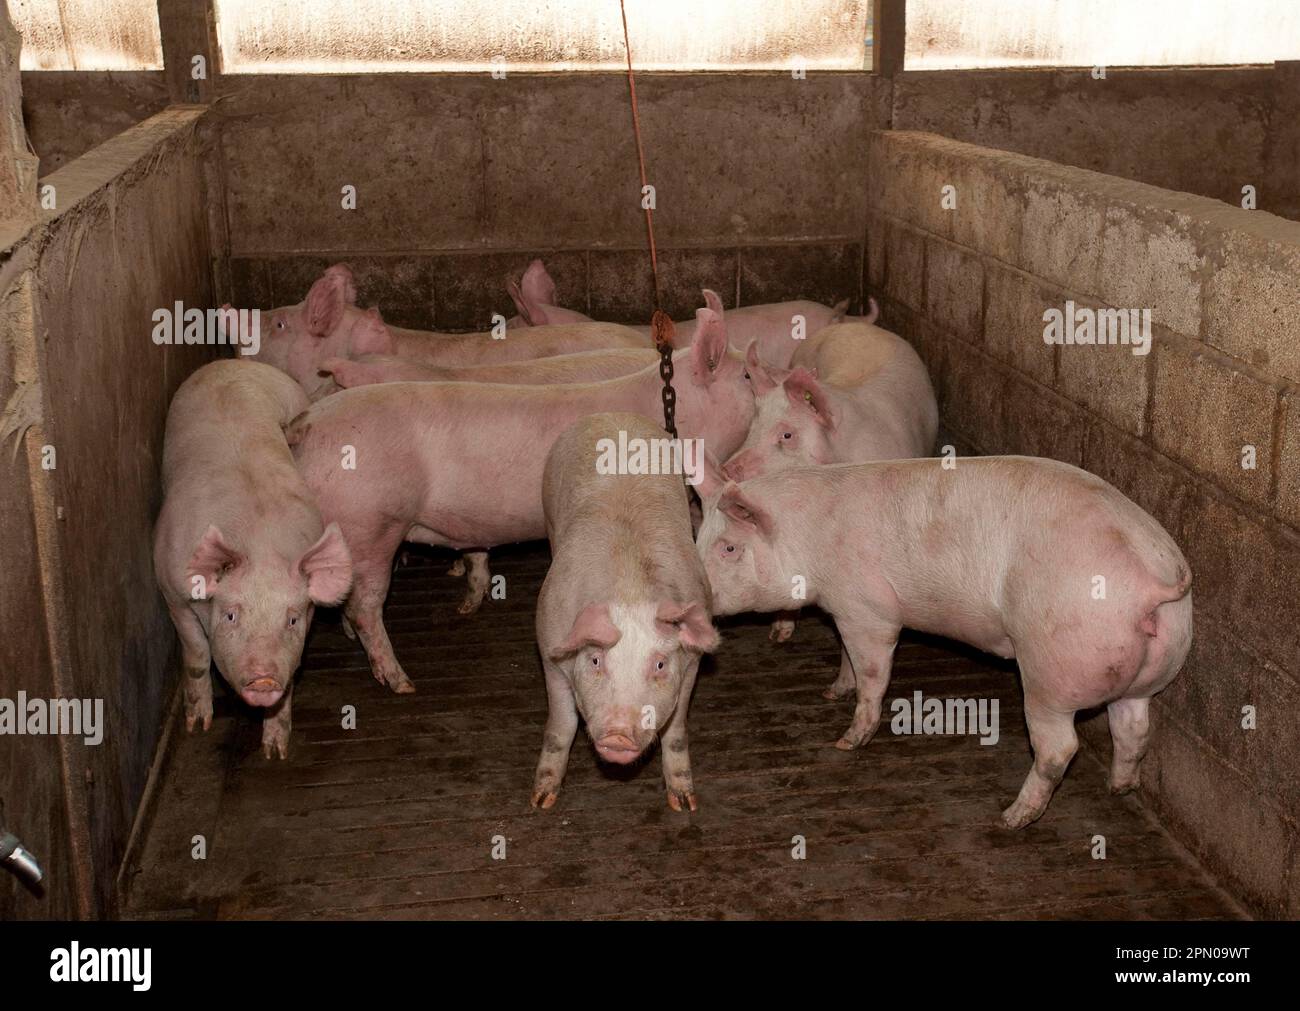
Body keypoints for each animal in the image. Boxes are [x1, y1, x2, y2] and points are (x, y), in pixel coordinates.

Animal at [153, 360, 353, 759]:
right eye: (231, 615)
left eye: (291, 620)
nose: (263, 678)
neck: (260, 548)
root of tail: (233, 363)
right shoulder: (171, 589)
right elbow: (196, 654)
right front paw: (197, 726)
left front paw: (275, 753)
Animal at [533, 413, 720, 811]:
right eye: (596, 660)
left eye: (660, 664)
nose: (618, 734)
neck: (630, 591)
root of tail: (611, 414)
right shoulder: (549, 651)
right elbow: (561, 727)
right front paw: (541, 801)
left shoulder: (692, 664)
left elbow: (676, 731)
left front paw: (685, 804)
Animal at [695, 456, 1193, 829]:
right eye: (699, 541)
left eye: (729, 548)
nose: (691, 606)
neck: (811, 539)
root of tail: (1153, 579)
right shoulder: (843, 609)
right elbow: (845, 658)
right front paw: (832, 691)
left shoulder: (867, 608)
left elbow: (872, 671)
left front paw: (846, 742)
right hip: (1155, 666)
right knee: (1134, 728)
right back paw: (1119, 788)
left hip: (1053, 669)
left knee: (1059, 748)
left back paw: (1011, 818)